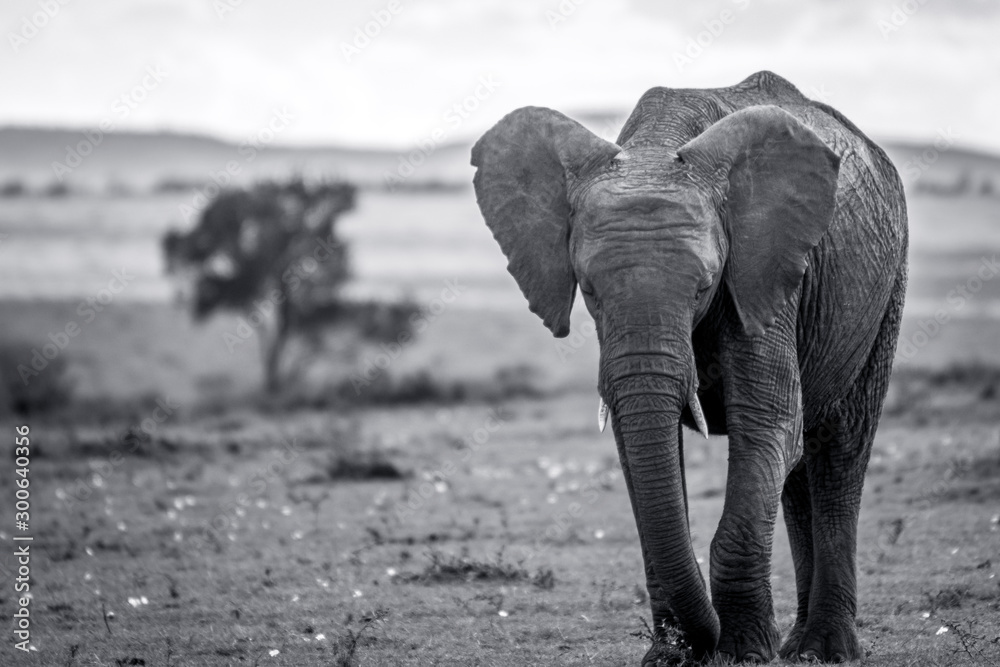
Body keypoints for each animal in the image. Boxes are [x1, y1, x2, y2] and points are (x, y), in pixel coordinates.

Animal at [470, 71, 907, 664]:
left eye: (703, 286)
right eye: (589, 290)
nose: (699, 643)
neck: (655, 148)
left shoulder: (761, 273)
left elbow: (766, 425)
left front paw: (742, 651)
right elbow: (640, 446)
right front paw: (671, 654)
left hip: (886, 286)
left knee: (839, 449)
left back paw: (826, 649)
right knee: (800, 469)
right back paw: (797, 647)